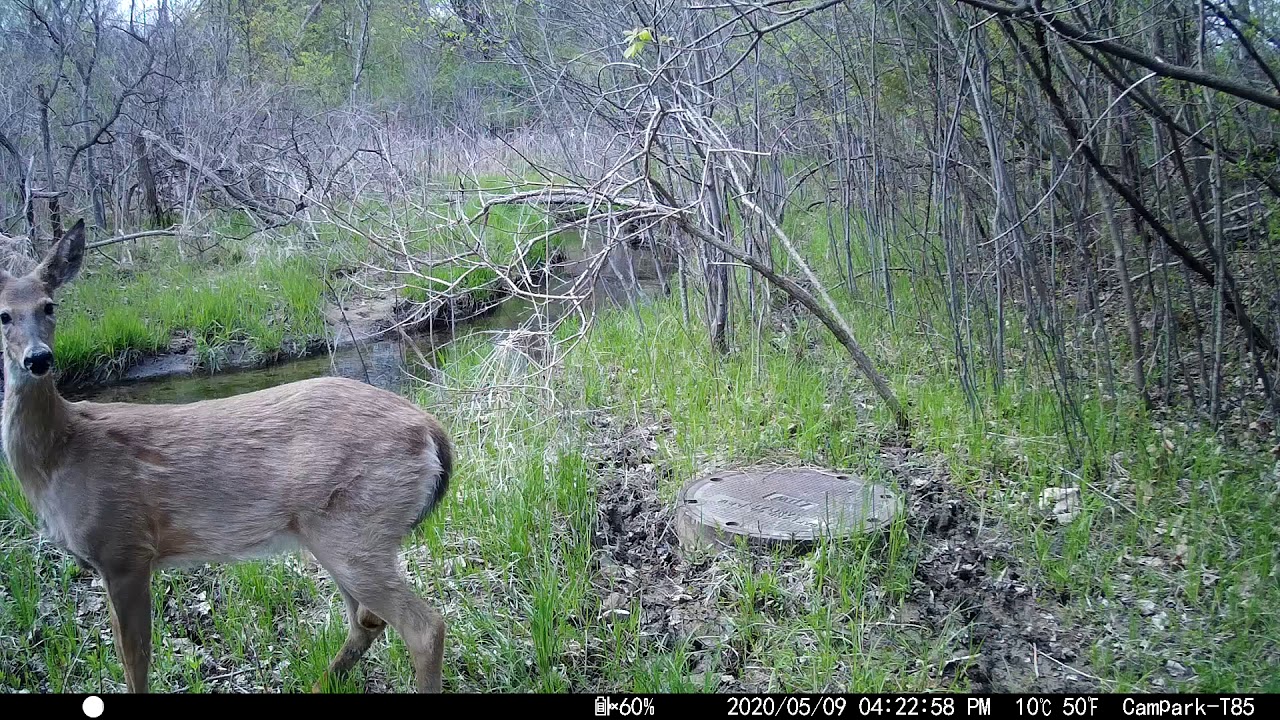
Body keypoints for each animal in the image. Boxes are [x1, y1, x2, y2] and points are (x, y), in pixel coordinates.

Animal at [0, 219, 454, 694]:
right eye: (4, 315)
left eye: (49, 306)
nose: (38, 358)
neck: (61, 454)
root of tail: (431, 429)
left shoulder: (124, 549)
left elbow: (135, 664)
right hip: (335, 535)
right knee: (366, 622)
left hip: (356, 529)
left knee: (423, 627)